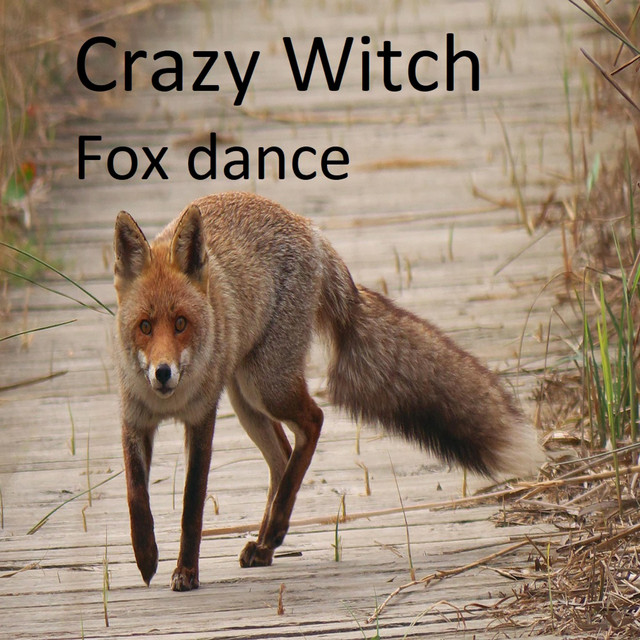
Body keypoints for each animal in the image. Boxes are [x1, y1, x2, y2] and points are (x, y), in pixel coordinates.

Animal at [113, 191, 540, 591]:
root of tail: (311, 229)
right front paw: (145, 555)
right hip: (246, 397)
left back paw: (274, 530)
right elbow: (135, 494)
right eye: (145, 326)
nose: (162, 373)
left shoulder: (202, 420)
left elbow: (191, 505)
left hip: (266, 386)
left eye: (181, 323)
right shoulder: (133, 418)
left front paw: (186, 571)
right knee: (283, 456)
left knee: (313, 422)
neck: (169, 401)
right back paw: (266, 543)